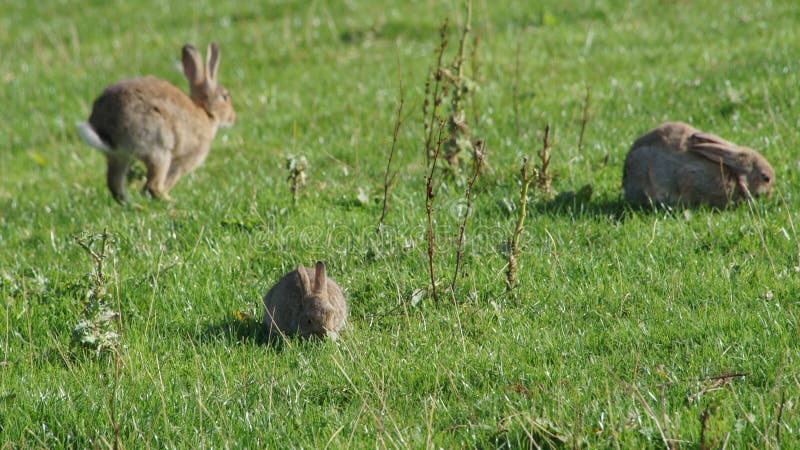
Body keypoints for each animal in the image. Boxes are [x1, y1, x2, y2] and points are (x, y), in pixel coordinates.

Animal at [77, 42, 235, 203]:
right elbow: (170, 178)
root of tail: (105, 128)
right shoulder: (186, 159)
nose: (233, 117)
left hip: (119, 157)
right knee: (151, 186)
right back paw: (170, 201)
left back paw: (132, 204)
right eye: (225, 96)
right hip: (158, 148)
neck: (206, 111)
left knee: (115, 185)